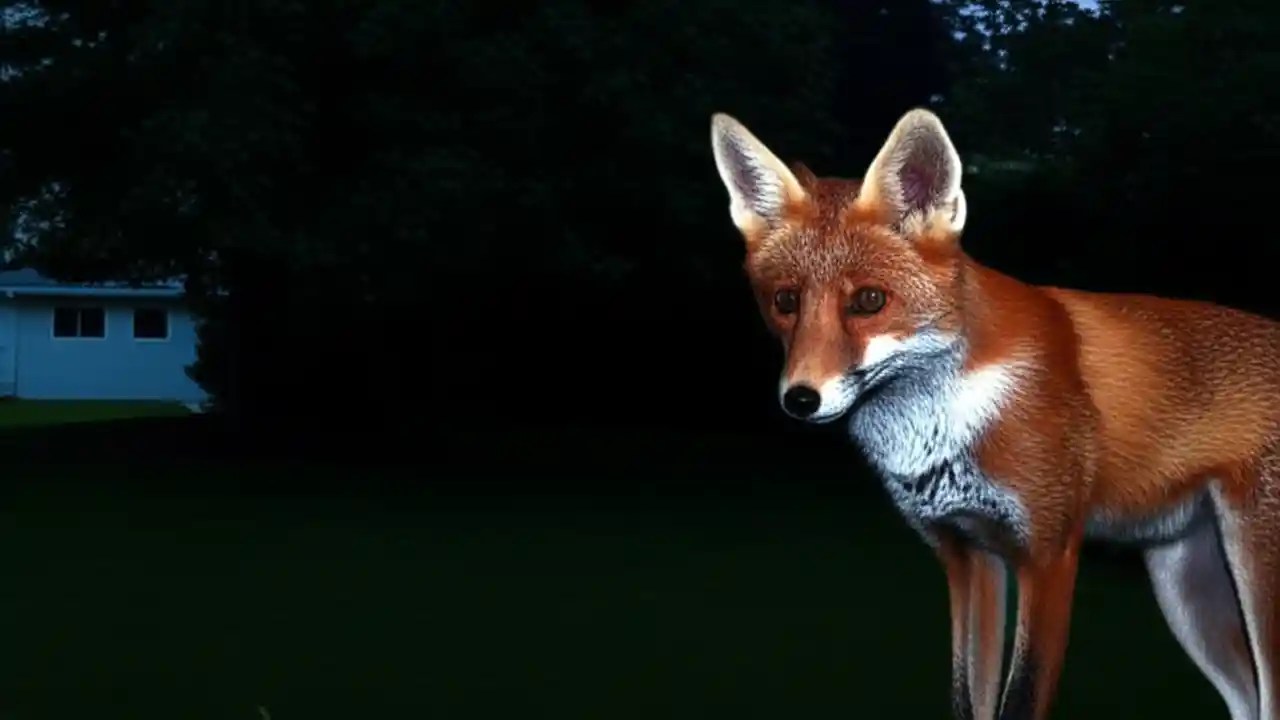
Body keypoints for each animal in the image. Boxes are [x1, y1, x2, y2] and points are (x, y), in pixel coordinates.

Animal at [709, 107, 1280, 720]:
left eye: (868, 301)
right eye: (786, 302)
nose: (800, 398)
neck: (944, 425)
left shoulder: (1049, 554)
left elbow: (1021, 698)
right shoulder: (968, 558)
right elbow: (967, 697)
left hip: (1251, 574)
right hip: (1184, 586)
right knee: (1249, 699)